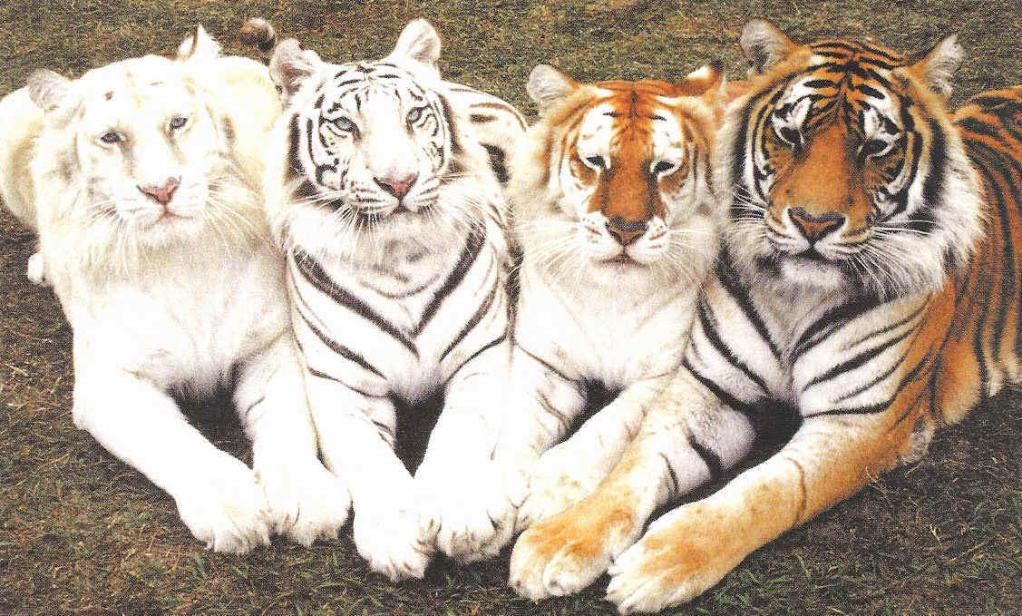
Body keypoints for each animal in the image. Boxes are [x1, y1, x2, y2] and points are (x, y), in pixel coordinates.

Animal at [2, 26, 349, 554]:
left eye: (178, 123)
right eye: (111, 137)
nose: (161, 189)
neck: (178, 257)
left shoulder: (273, 341)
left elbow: (288, 419)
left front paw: (307, 497)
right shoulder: (108, 382)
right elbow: (173, 442)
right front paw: (231, 508)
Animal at [261, 19, 526, 580]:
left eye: (414, 116)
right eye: (344, 125)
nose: (400, 182)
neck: (396, 258)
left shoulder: (481, 356)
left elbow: (458, 432)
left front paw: (460, 511)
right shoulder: (341, 385)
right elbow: (369, 460)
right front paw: (395, 535)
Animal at [479, 63, 724, 546]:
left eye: (663, 167)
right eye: (595, 162)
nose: (626, 230)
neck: (609, 294)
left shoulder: (663, 374)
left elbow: (608, 427)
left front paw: (550, 489)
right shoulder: (543, 360)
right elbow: (518, 423)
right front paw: (487, 497)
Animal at [509, 19, 1022, 612]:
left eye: (875, 148)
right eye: (790, 135)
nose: (813, 223)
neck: (793, 296)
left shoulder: (861, 425)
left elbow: (767, 491)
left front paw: (662, 560)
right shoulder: (709, 387)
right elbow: (634, 465)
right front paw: (561, 542)